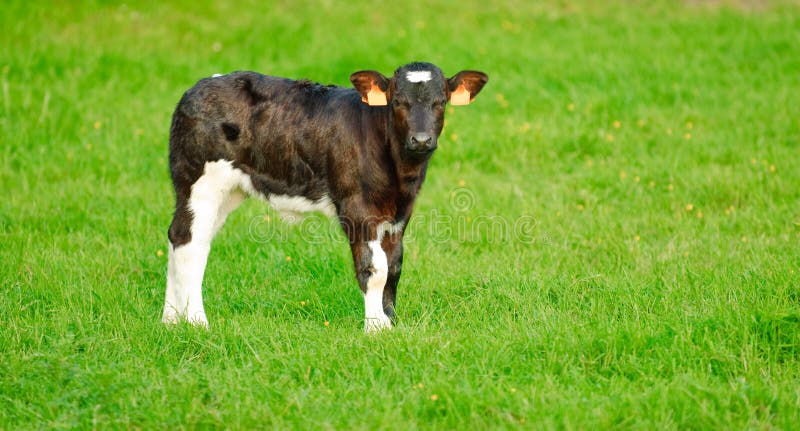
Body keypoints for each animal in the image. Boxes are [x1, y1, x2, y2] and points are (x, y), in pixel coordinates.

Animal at [163, 62, 488, 332]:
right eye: (397, 101)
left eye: (441, 102)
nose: (421, 140)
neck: (400, 175)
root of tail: (200, 85)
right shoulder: (357, 208)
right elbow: (374, 268)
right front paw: (376, 328)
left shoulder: (399, 213)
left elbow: (394, 266)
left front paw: (391, 322)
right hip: (198, 181)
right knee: (189, 242)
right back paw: (197, 323)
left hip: (227, 191)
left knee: (186, 239)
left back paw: (170, 320)